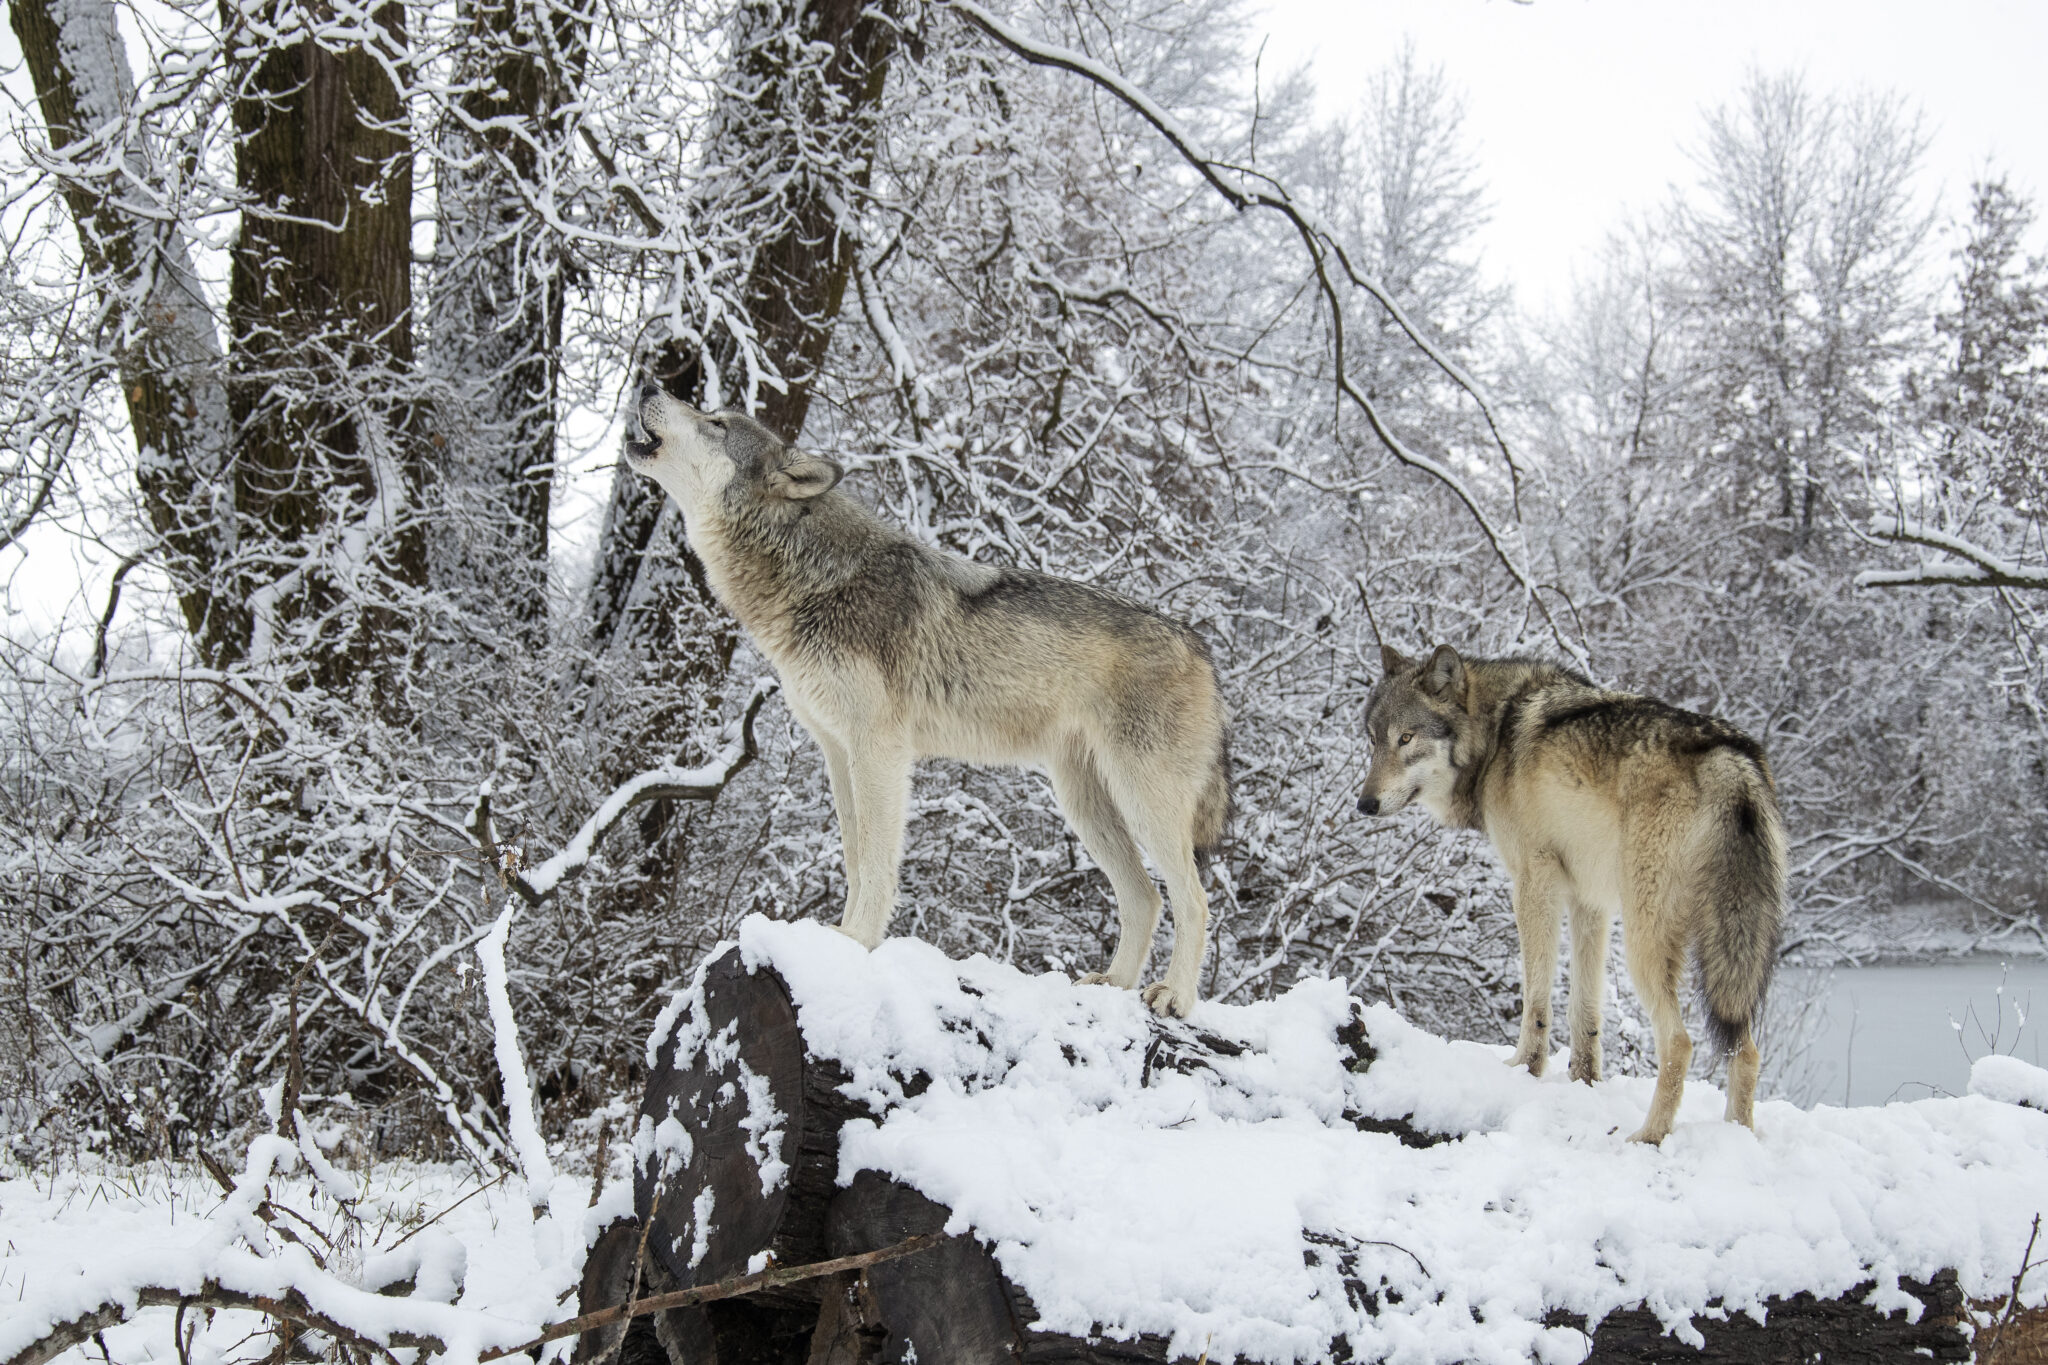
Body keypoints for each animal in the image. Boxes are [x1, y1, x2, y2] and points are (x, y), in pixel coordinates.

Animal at [623, 385, 1231, 1017]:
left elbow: (876, 862)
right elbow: (855, 855)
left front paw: (856, 940)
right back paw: (1112, 986)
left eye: (716, 423)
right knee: (1145, 898)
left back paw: (1174, 996)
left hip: (1142, 800)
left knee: (1194, 900)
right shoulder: (837, 752)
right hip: (1085, 804)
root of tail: (1202, 648)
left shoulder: (879, 750)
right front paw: (837, 939)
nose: (648, 386)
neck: (813, 576)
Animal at [1356, 644, 1785, 1143]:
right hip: (1729, 949)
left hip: (1645, 941)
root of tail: (1730, 760)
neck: (1497, 734)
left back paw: (1648, 1137)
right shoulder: (1589, 900)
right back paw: (1739, 1138)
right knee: (1747, 1050)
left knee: (1680, 1041)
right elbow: (1586, 1010)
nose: (1364, 804)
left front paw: (1525, 1068)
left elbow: (1536, 995)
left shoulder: (1533, 880)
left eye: (1406, 738)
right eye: (1373, 740)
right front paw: (1584, 1080)